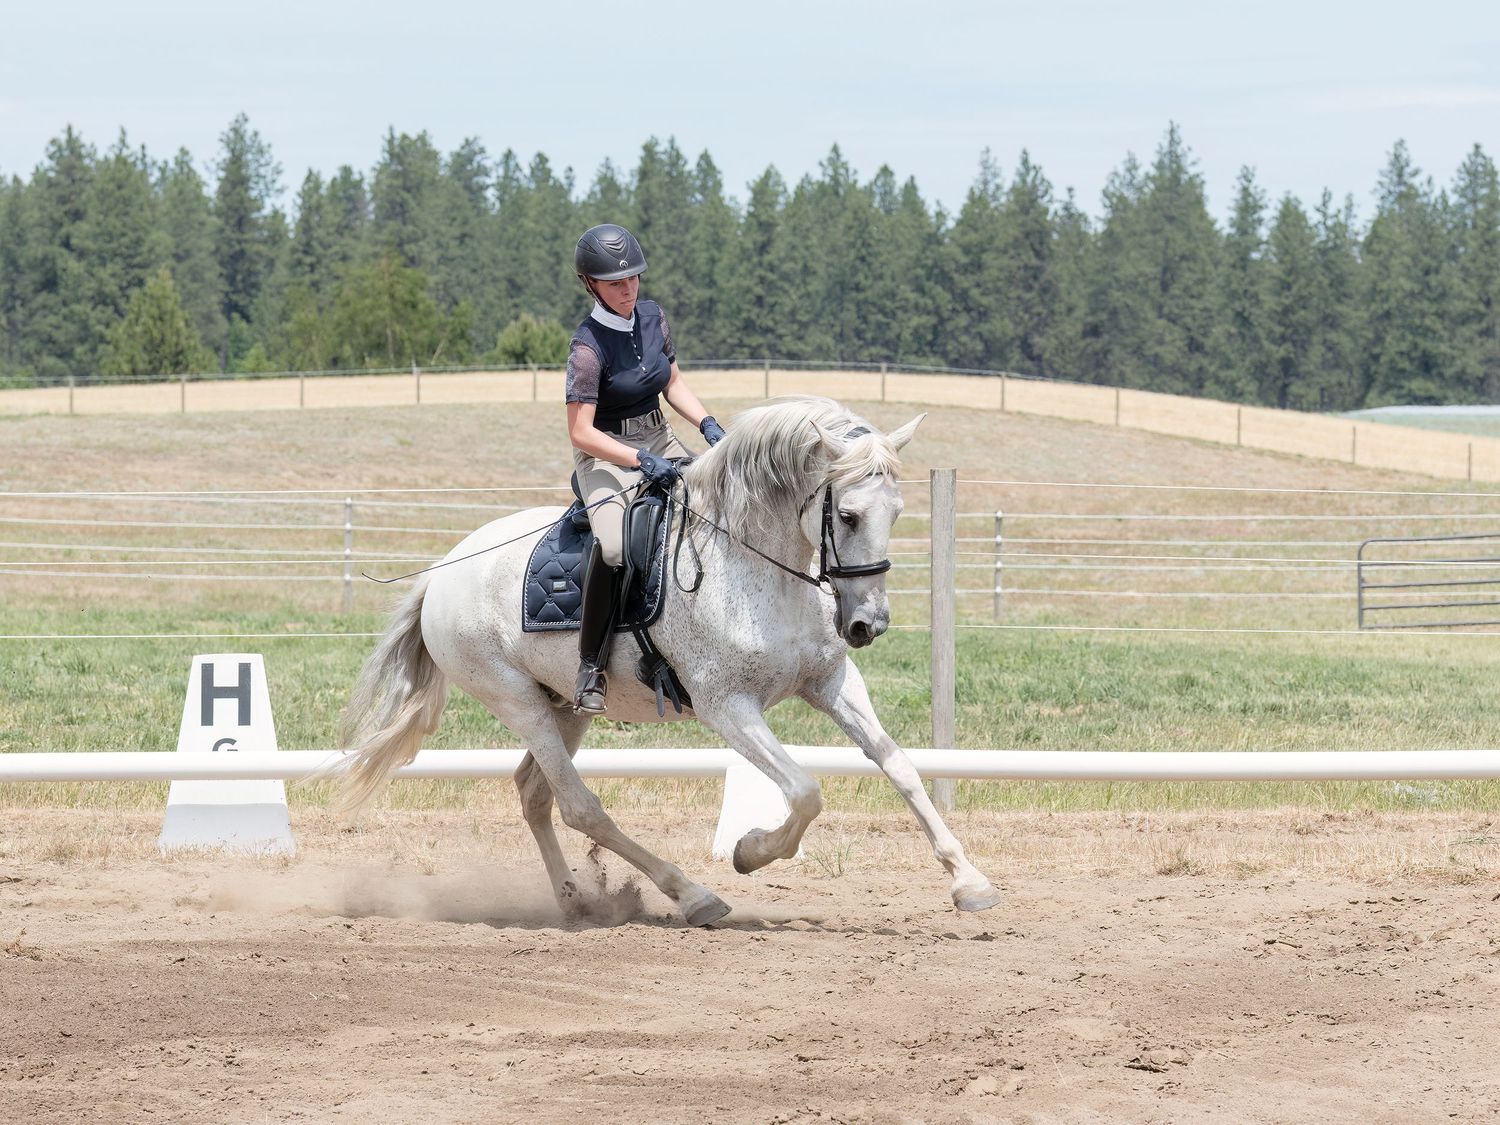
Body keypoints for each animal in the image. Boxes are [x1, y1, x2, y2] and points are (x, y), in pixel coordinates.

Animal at [339, 396, 1000, 926]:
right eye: (846, 515)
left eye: (898, 512)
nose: (868, 625)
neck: (752, 558)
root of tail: (441, 572)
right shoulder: (727, 706)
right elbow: (805, 790)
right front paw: (750, 851)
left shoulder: (832, 679)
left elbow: (899, 765)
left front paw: (970, 882)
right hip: (516, 700)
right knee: (581, 807)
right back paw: (692, 895)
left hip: (565, 705)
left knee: (535, 795)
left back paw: (578, 903)